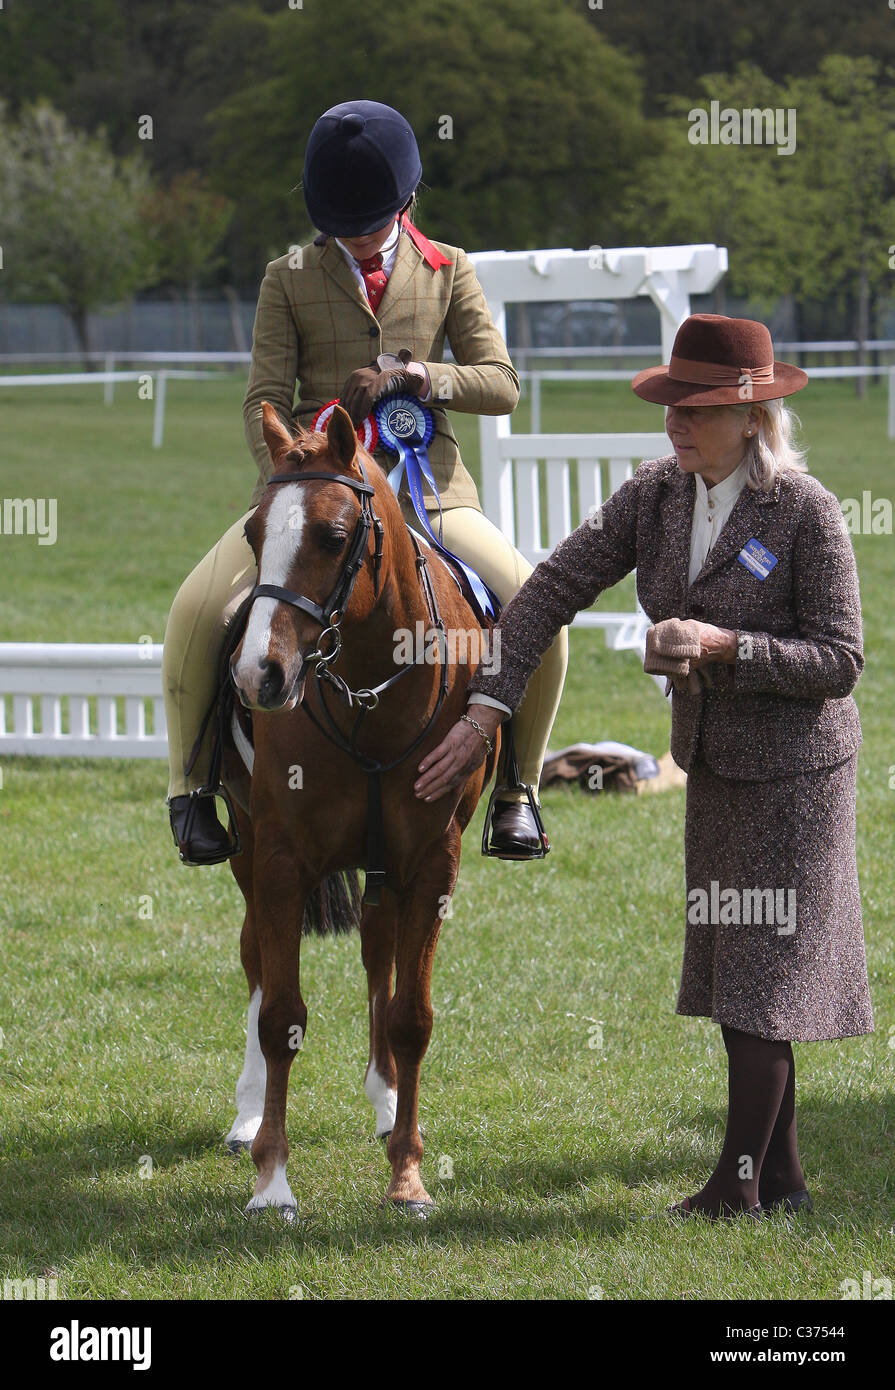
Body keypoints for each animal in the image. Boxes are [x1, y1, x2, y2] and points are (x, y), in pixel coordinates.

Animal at [219, 400, 500, 1218]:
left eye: (333, 536)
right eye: (254, 533)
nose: (258, 674)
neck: (370, 690)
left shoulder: (431, 861)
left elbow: (411, 1015)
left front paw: (407, 1175)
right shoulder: (279, 859)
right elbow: (281, 1014)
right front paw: (272, 1182)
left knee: (379, 955)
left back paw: (384, 1100)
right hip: (245, 850)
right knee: (256, 962)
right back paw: (247, 1116)